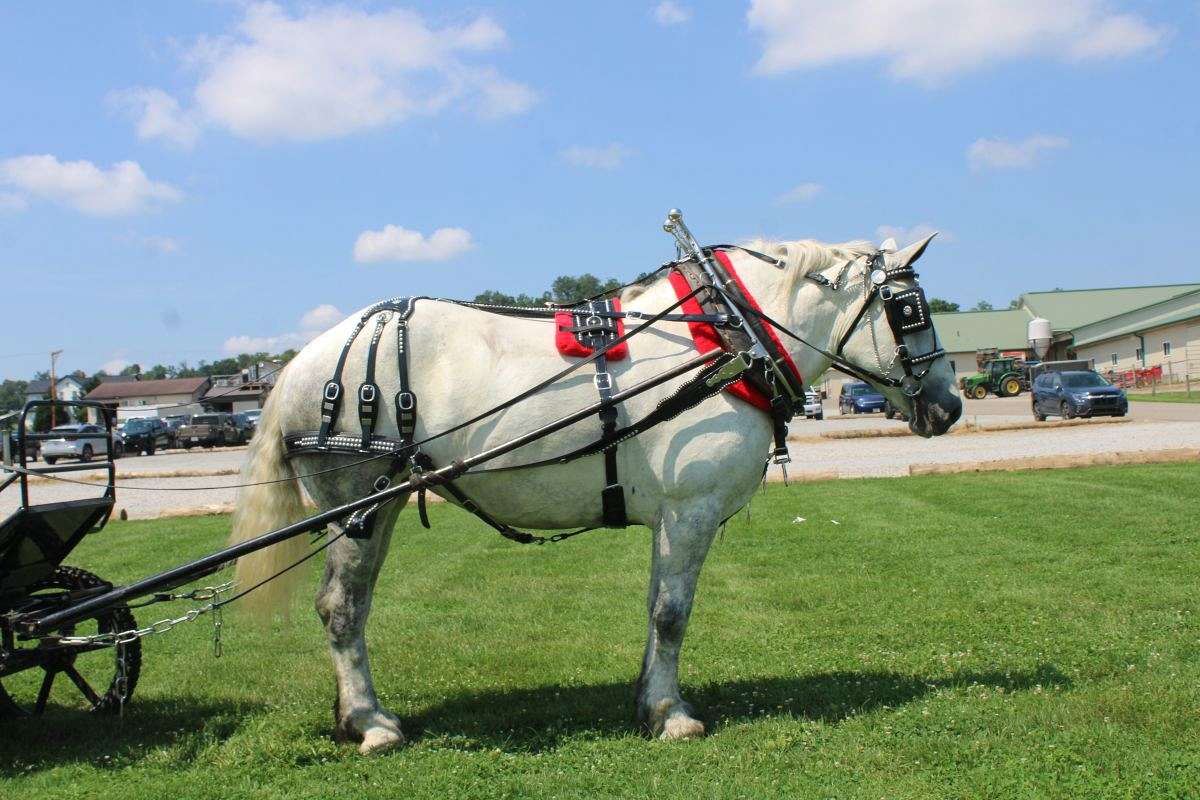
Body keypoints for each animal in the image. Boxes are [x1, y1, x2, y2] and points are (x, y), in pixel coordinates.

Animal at [228, 234, 962, 754]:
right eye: (909, 311)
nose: (950, 405)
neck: (728, 338)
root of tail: (300, 363)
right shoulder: (690, 509)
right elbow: (672, 614)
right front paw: (671, 714)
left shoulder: (671, 518)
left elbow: (655, 609)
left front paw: (647, 701)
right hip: (359, 504)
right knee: (341, 608)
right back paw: (369, 722)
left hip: (374, 511)